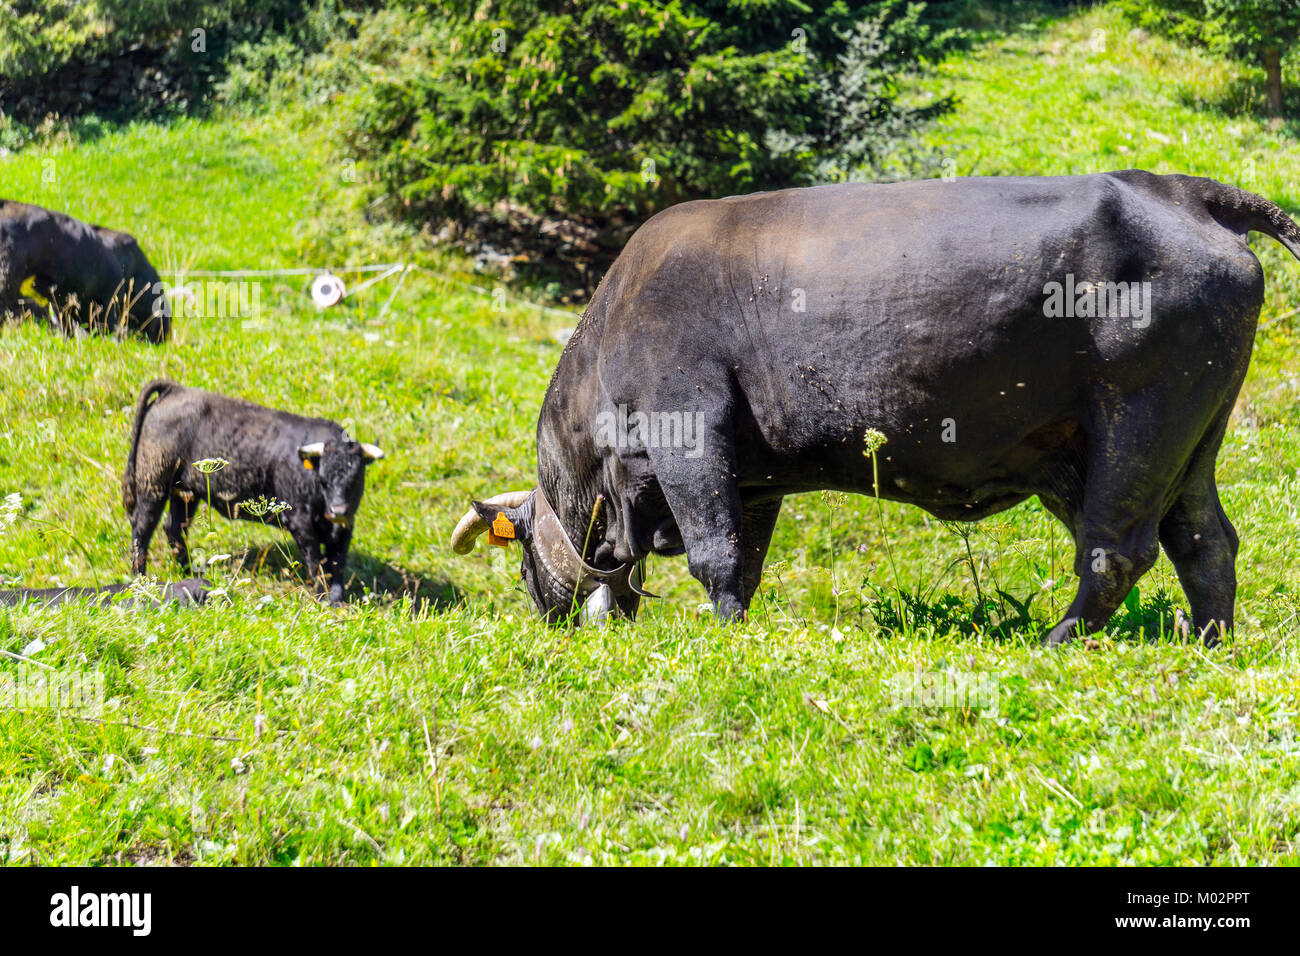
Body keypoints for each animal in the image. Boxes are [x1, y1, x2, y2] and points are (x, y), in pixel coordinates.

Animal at [121, 379, 385, 603]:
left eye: (356, 477)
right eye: (322, 479)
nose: (338, 510)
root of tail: (177, 389)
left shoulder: (344, 529)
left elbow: (337, 566)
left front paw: (338, 601)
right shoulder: (300, 523)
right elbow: (316, 564)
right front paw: (322, 597)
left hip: (185, 490)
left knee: (175, 528)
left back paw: (192, 572)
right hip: (153, 482)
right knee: (143, 528)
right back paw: (141, 578)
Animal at [451, 170, 1300, 646]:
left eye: (519, 554)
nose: (544, 615)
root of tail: (1184, 191)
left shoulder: (686, 425)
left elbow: (714, 550)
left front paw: (723, 644)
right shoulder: (754, 479)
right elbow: (744, 559)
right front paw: (737, 627)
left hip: (1137, 421)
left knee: (1117, 549)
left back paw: (1056, 642)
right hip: (1177, 440)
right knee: (1205, 541)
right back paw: (1209, 646)